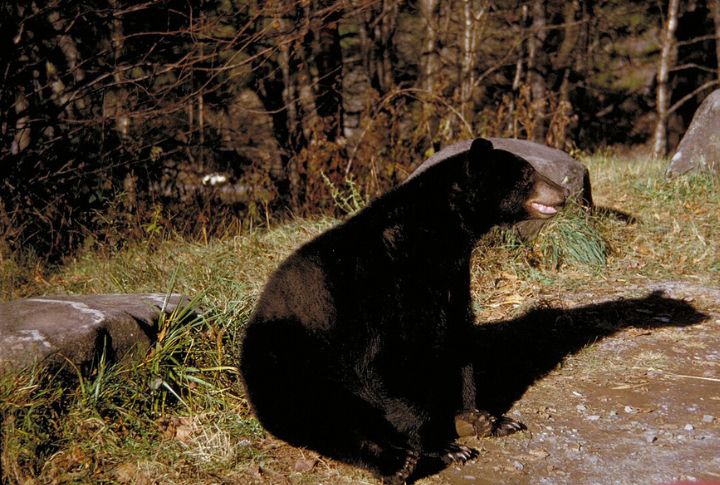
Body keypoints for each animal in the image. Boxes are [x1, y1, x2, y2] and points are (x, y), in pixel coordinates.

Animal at [239, 138, 567, 484]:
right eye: (526, 174)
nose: (562, 192)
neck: (435, 235)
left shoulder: (451, 280)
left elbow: (456, 341)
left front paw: (482, 417)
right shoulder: (381, 287)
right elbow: (388, 362)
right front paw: (443, 444)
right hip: (290, 365)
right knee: (325, 418)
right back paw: (397, 462)